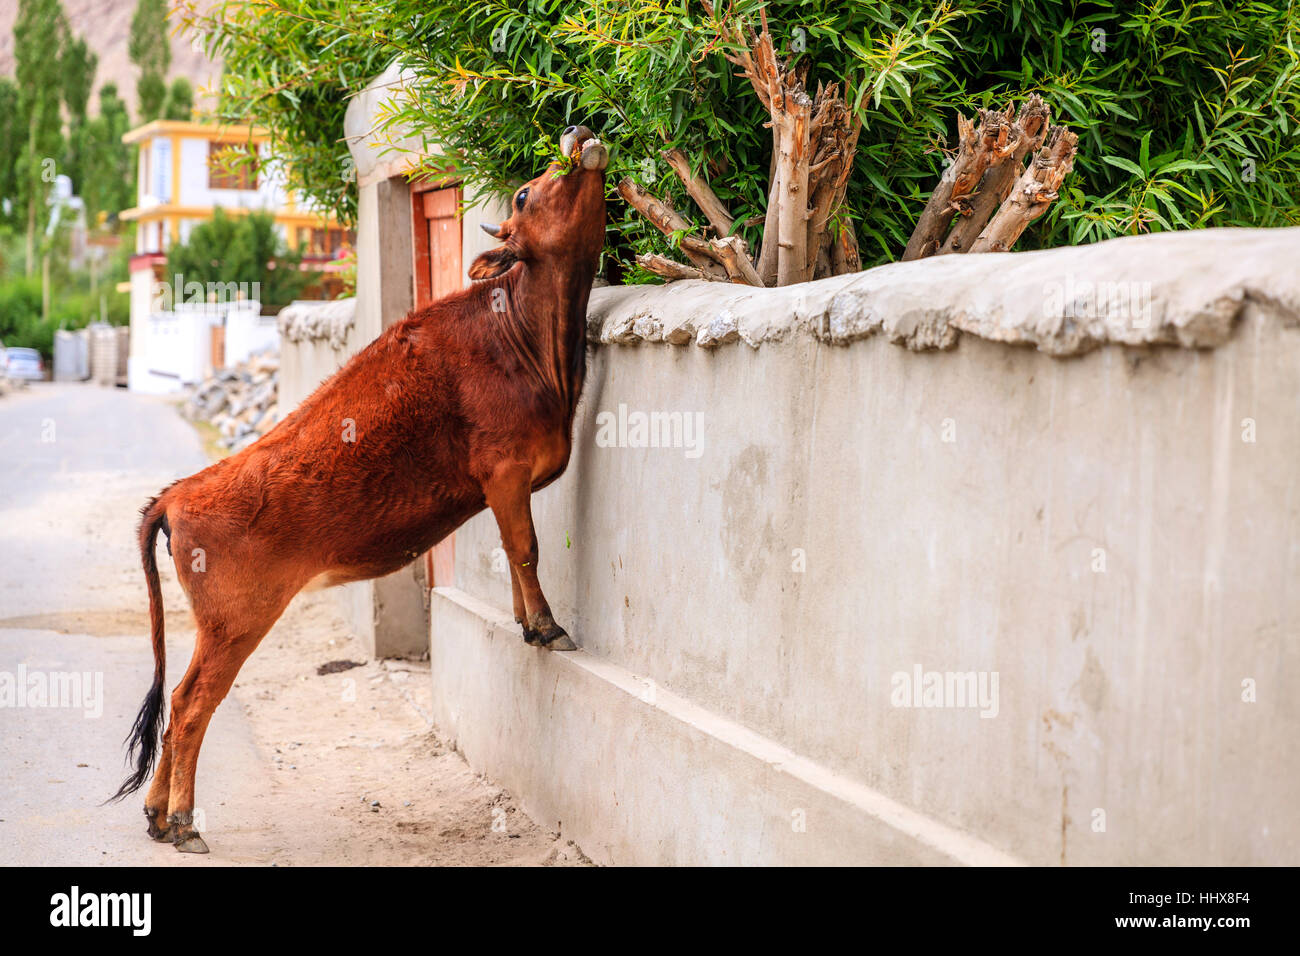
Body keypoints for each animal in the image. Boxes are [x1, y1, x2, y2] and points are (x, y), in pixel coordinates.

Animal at [111, 125, 610, 853]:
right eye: (523, 191)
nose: (577, 133)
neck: (529, 339)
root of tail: (176, 495)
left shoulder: (504, 484)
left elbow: (514, 555)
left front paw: (525, 623)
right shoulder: (505, 471)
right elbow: (527, 549)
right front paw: (547, 627)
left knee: (176, 704)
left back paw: (155, 815)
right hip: (235, 621)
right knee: (190, 703)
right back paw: (181, 820)